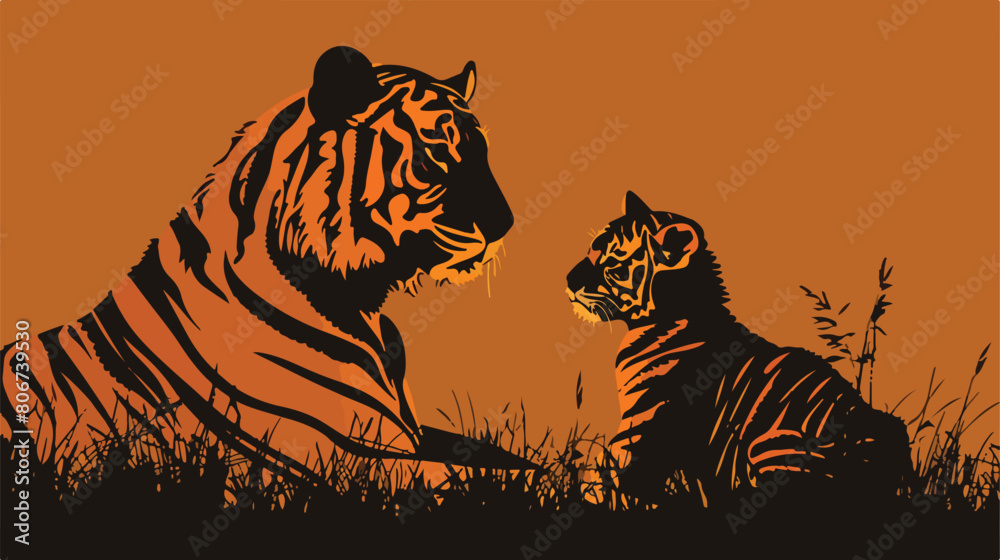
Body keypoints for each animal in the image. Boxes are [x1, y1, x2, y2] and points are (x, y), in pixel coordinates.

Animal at [1, 46, 523, 488]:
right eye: (435, 154)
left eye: (483, 150)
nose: (505, 223)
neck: (363, 305)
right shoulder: (345, 453)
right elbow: (481, 478)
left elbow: (504, 459)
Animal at [566, 191, 912, 506]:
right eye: (590, 251)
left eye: (613, 264)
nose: (568, 280)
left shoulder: (643, 419)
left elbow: (610, 475)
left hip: (771, 445)